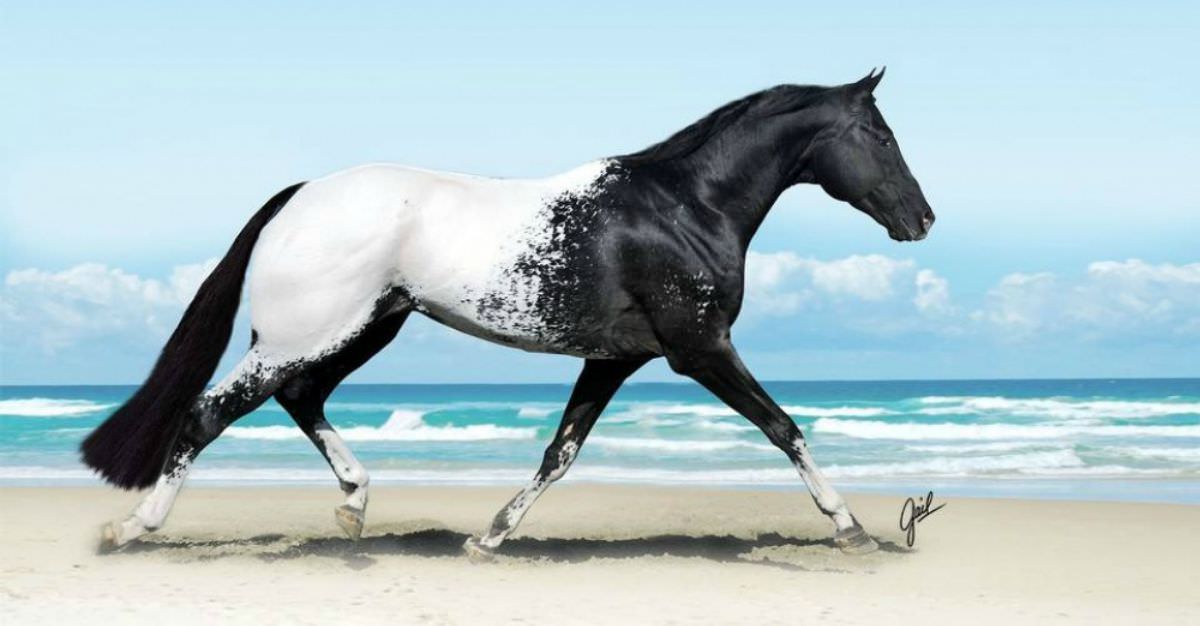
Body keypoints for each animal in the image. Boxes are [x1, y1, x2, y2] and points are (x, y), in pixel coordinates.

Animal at [82, 68, 934, 558]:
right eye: (882, 135)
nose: (921, 220)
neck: (683, 208)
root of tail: (298, 197)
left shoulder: (616, 358)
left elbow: (560, 452)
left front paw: (489, 536)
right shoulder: (699, 347)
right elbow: (784, 426)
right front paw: (850, 526)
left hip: (365, 327)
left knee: (299, 399)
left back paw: (355, 505)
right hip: (307, 333)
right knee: (209, 413)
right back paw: (132, 528)